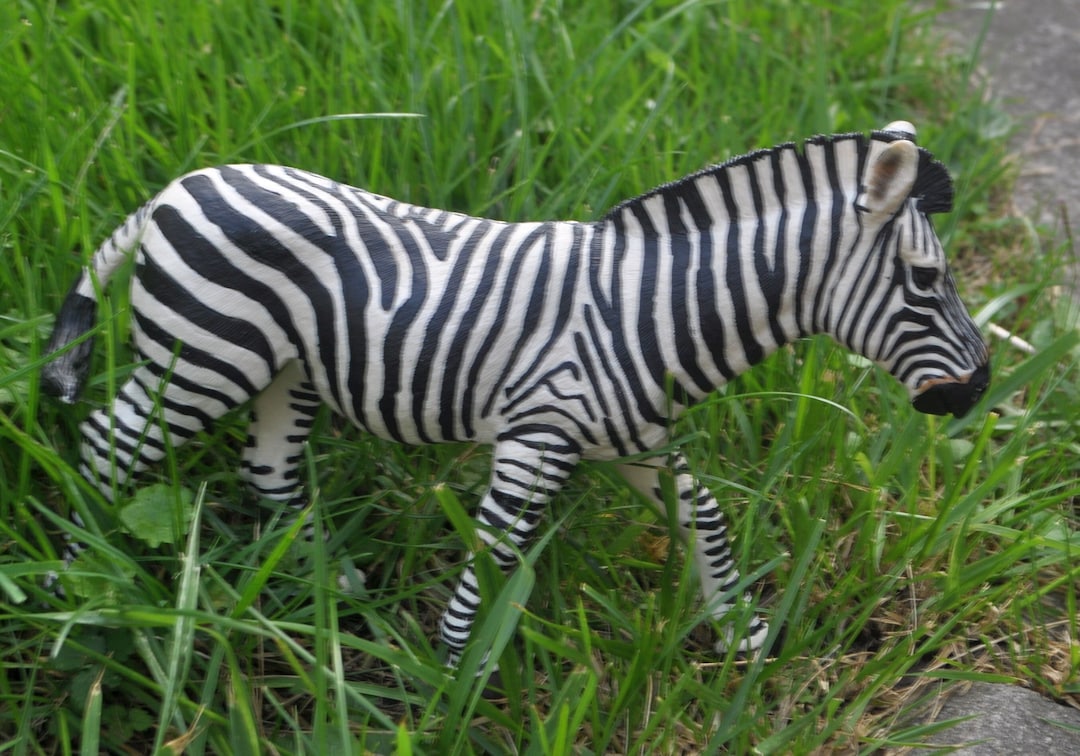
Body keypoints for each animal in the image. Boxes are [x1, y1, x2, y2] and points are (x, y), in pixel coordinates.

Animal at [40, 120, 989, 668]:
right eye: (925, 280)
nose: (978, 389)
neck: (650, 308)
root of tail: (180, 184)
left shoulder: (637, 439)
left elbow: (707, 521)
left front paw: (744, 638)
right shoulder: (539, 438)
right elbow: (497, 548)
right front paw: (456, 673)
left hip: (282, 368)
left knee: (268, 472)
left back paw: (332, 590)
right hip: (204, 356)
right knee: (104, 446)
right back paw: (83, 576)